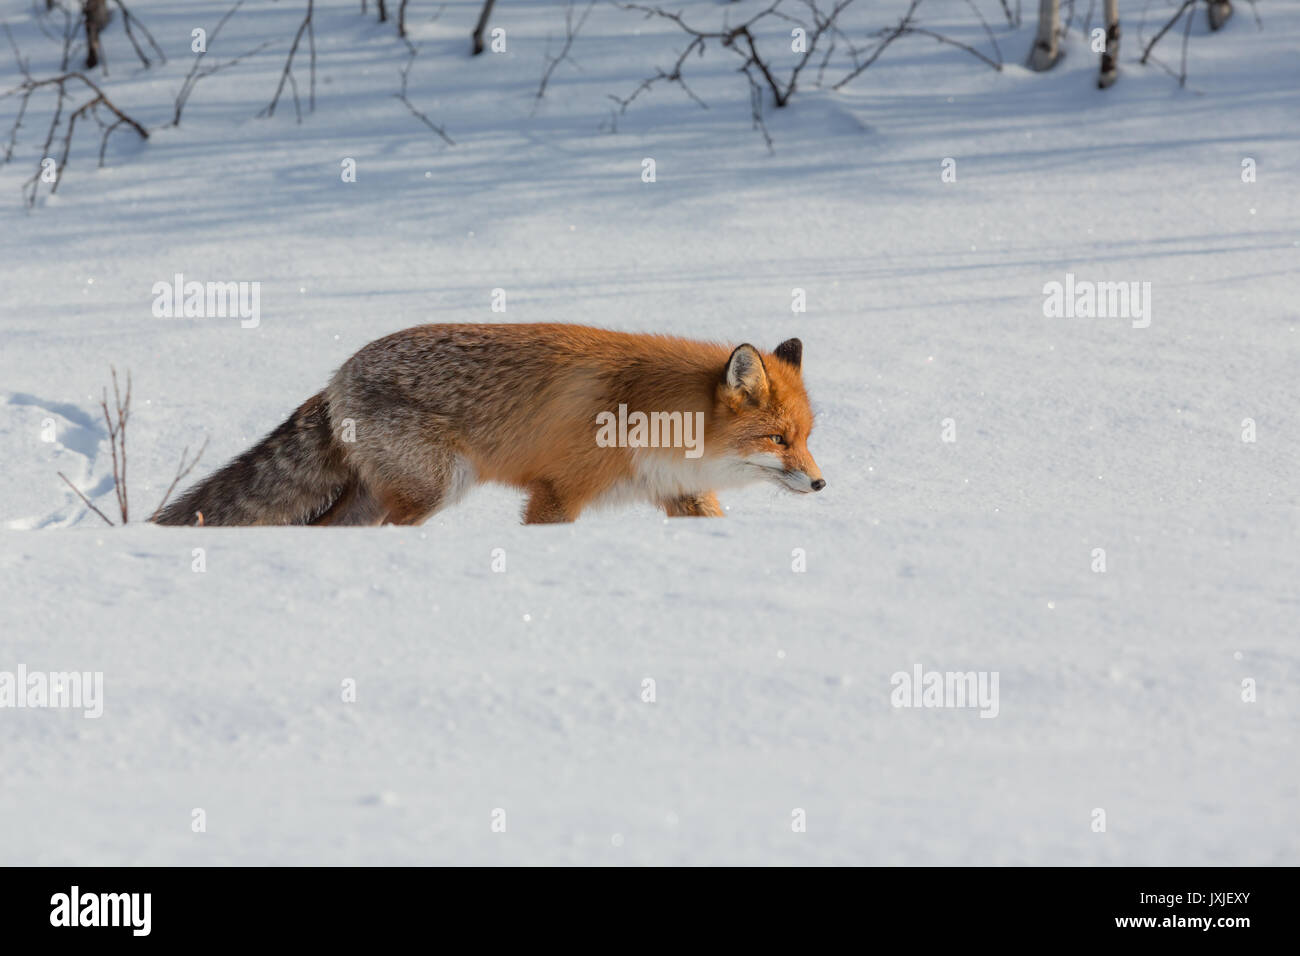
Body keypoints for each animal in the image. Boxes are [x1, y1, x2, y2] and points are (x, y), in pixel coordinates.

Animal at [152, 323, 824, 527]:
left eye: (806, 439)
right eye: (777, 439)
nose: (822, 485)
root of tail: (337, 376)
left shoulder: (680, 493)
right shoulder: (556, 493)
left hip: (375, 498)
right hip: (434, 488)